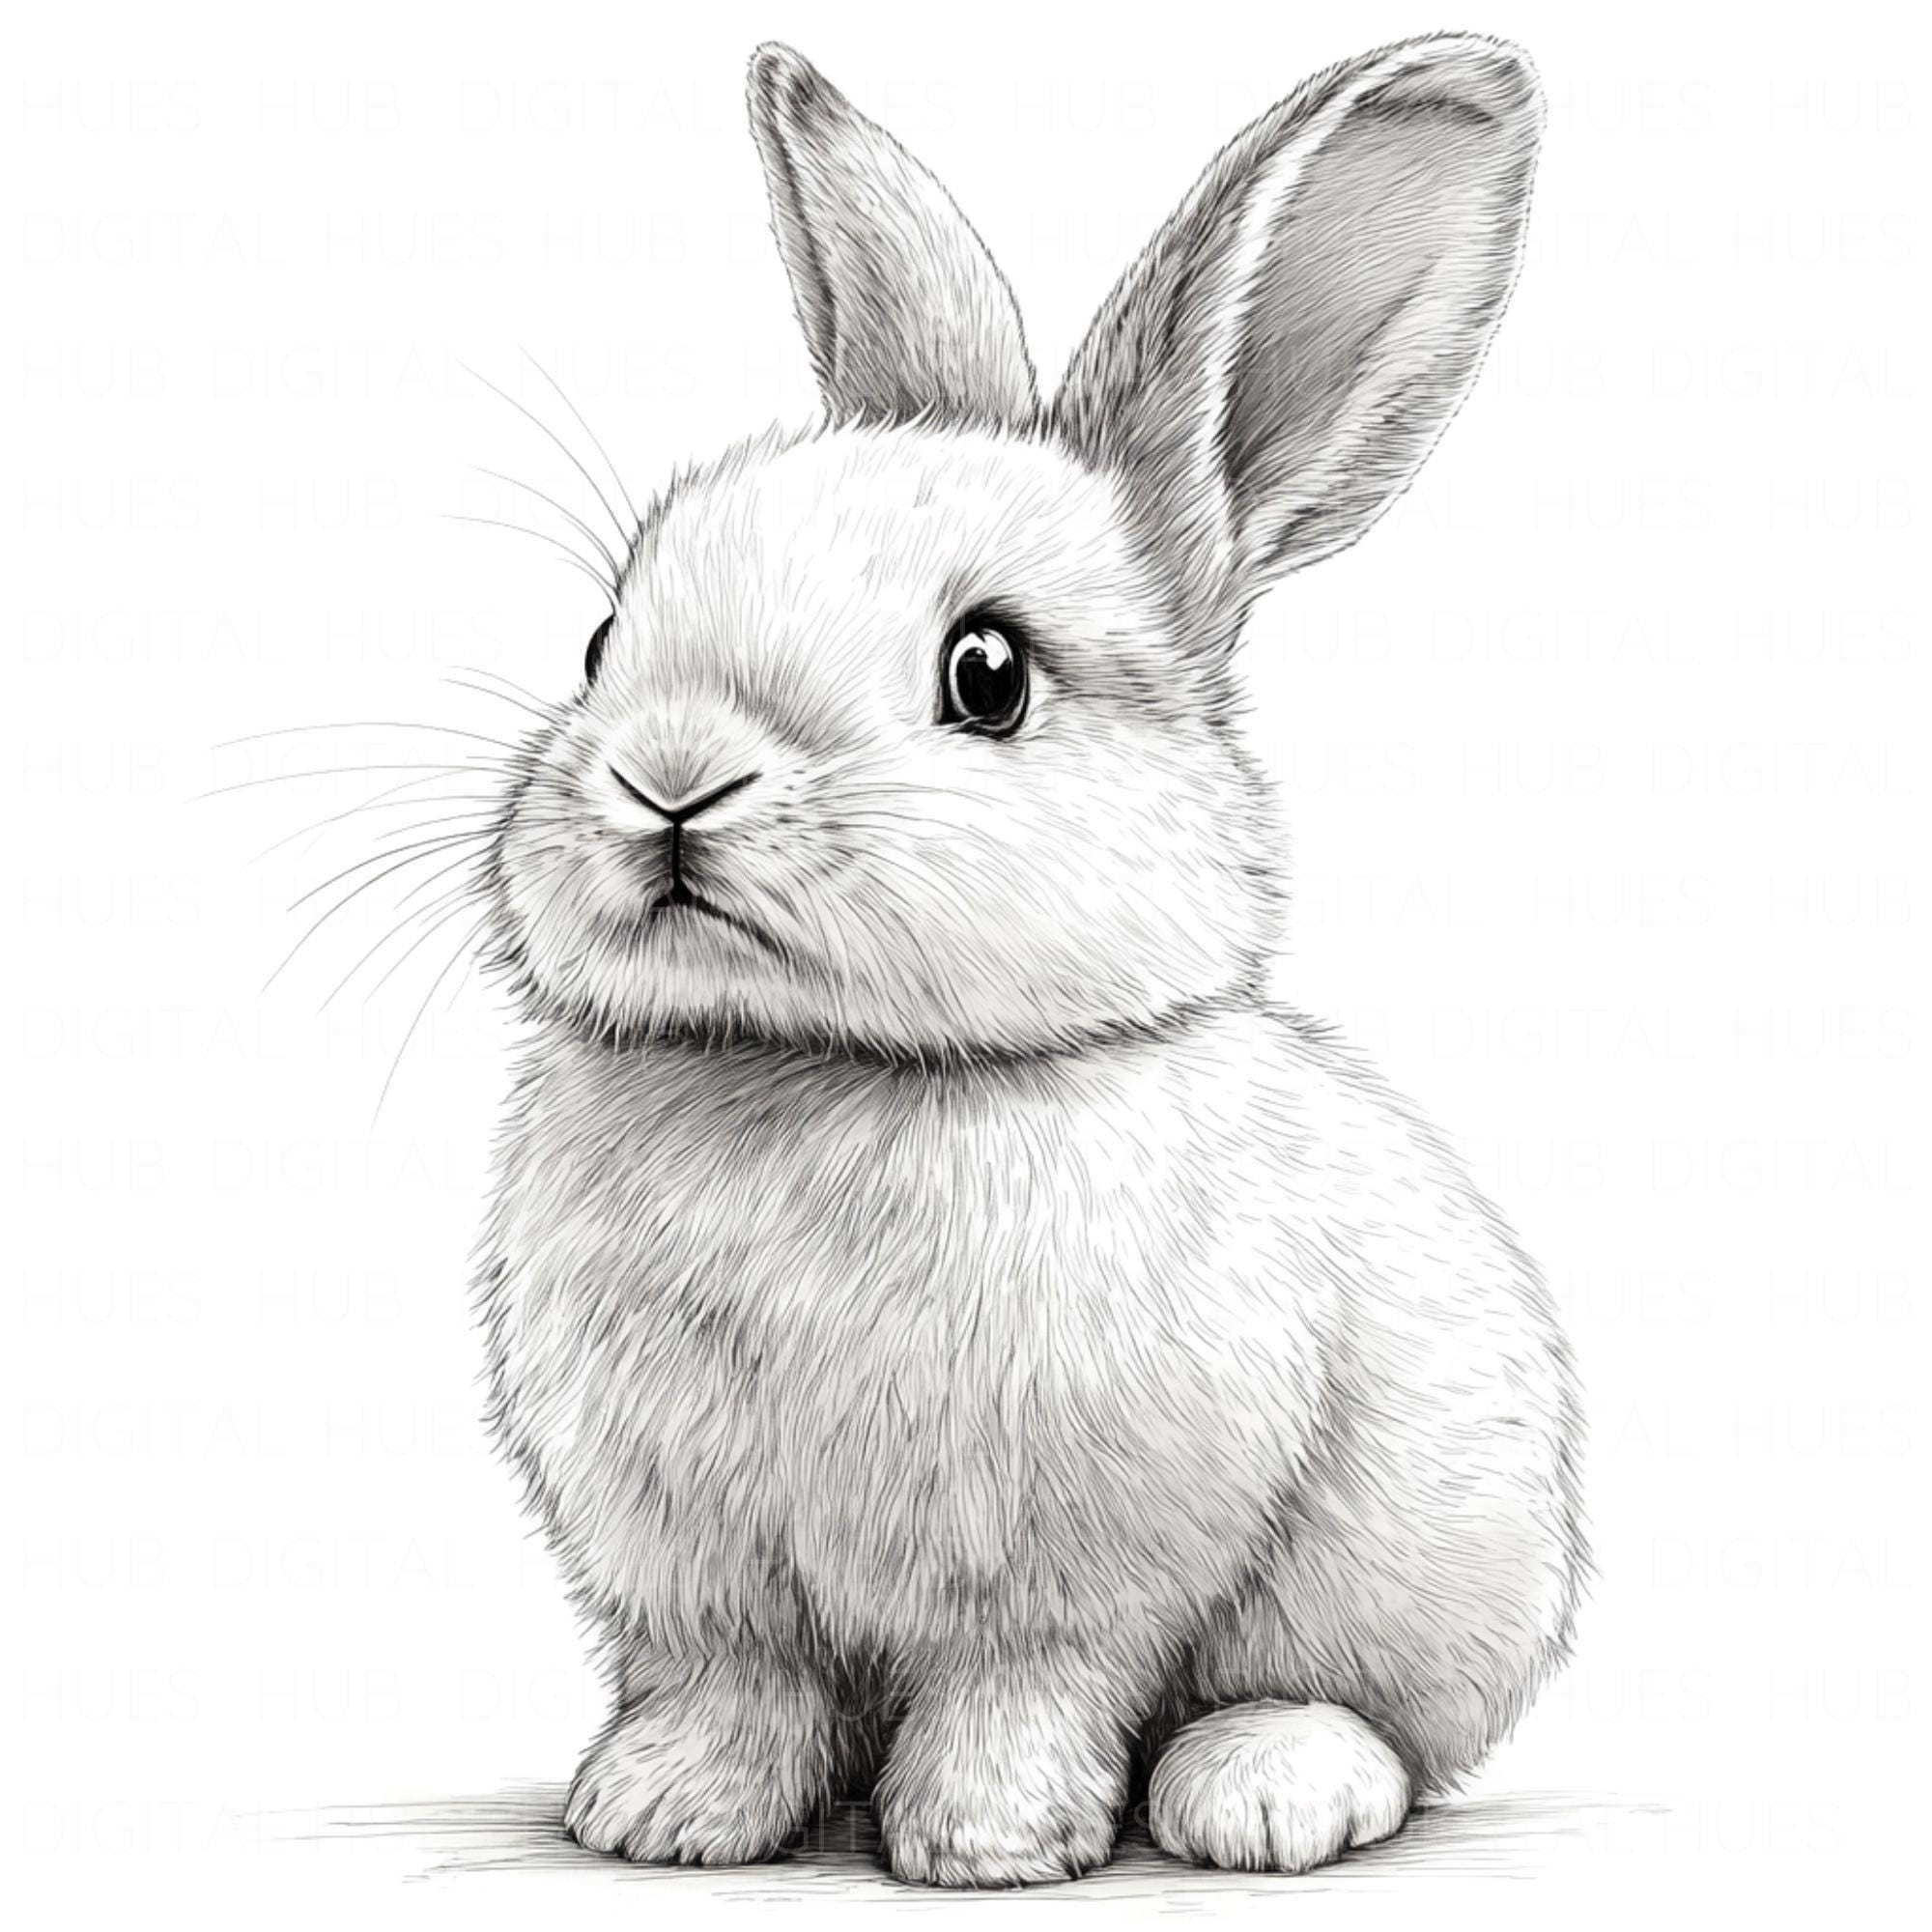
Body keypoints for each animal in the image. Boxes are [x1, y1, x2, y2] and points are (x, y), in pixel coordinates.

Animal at [475, 34, 1585, 1888]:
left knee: (1374, 1721)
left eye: (986, 672)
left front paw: (986, 1845)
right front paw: (661, 1815)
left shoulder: (1079, 1567)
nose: (671, 779)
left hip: (1433, 1565)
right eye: (602, 640)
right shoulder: (693, 1566)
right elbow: (735, 1682)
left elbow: (1027, 1685)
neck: (815, 1073)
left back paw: (1262, 1793)